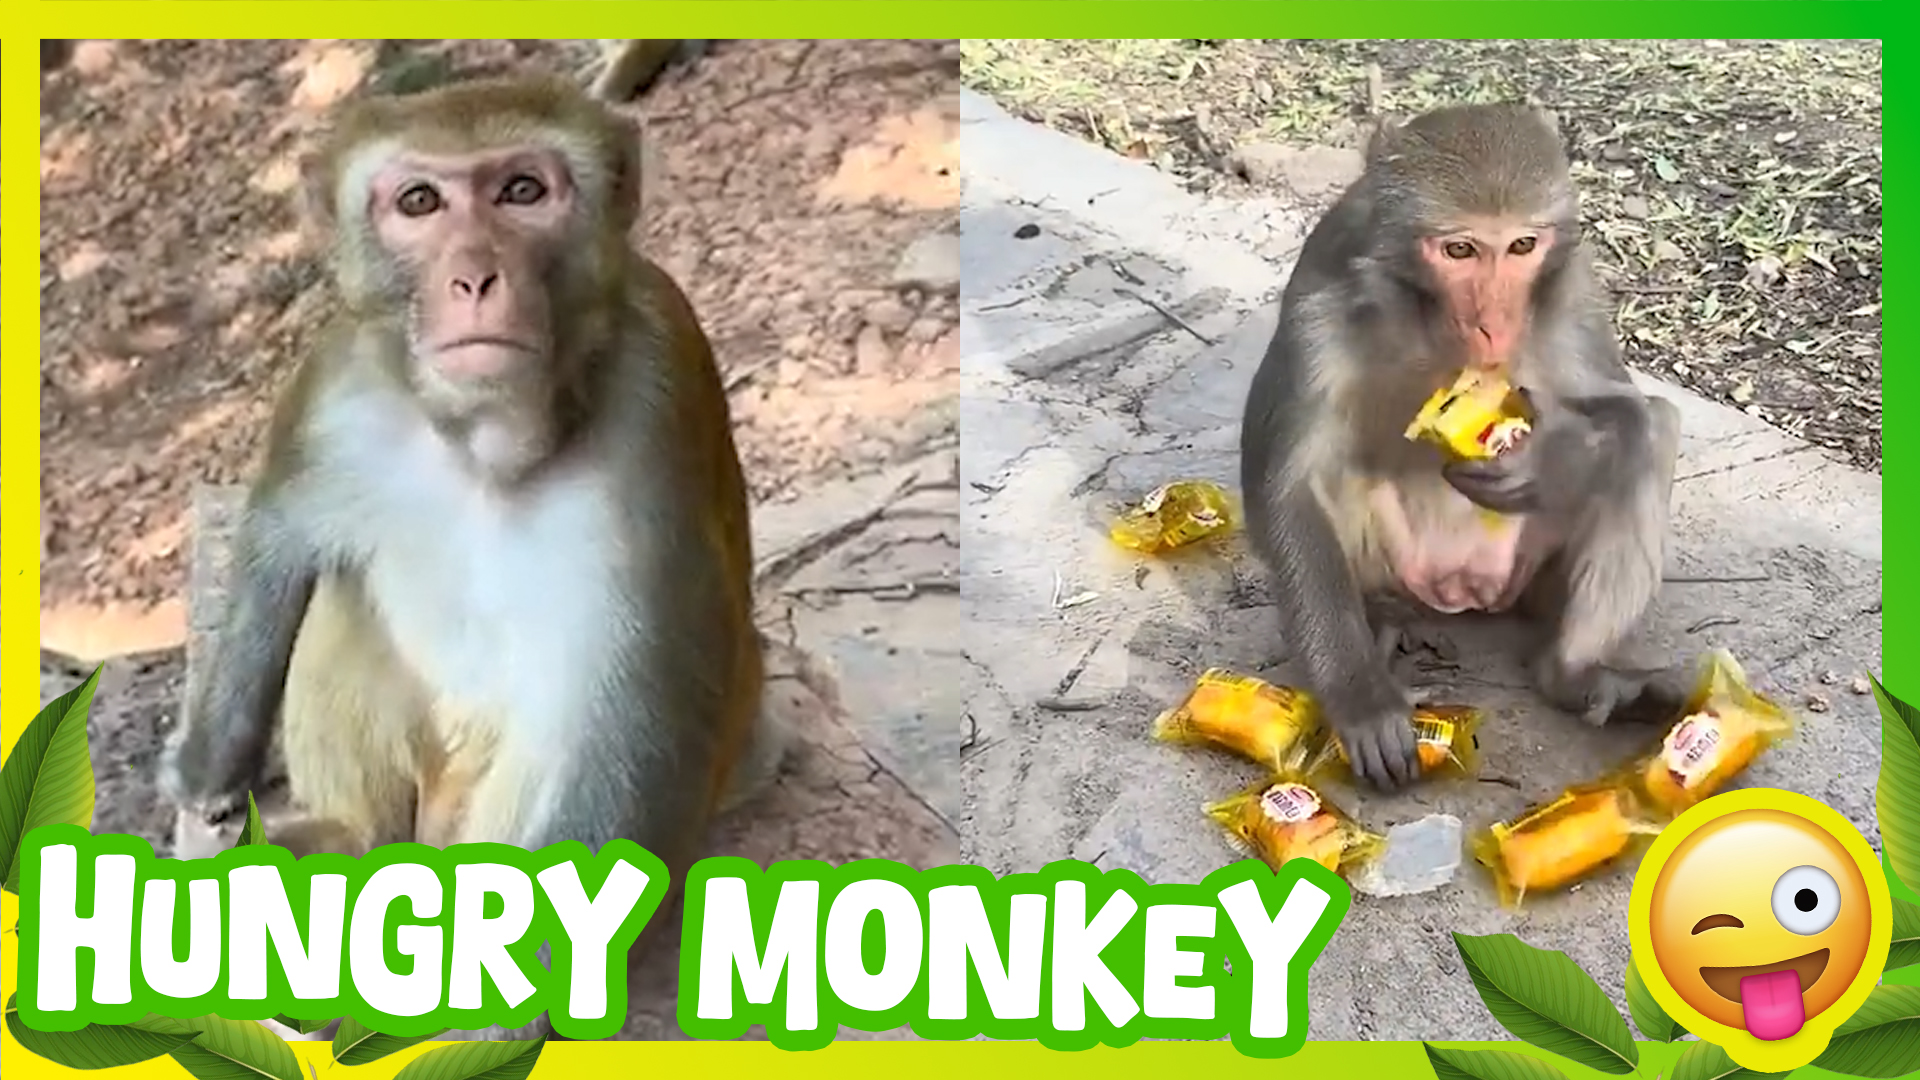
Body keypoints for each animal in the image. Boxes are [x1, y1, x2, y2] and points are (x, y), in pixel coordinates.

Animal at [157, 75, 780, 1038]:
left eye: (522, 192)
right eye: (420, 202)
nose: (476, 276)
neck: (487, 434)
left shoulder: (658, 393)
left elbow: (646, 697)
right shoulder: (336, 378)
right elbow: (279, 537)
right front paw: (209, 770)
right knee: (342, 594)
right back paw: (339, 853)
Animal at [1239, 102, 1687, 791]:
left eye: (1523, 246)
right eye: (1460, 249)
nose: (1494, 326)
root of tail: (1464, 590)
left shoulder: (1572, 292)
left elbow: (1628, 406)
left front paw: (1550, 458)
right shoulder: (1319, 303)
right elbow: (1285, 482)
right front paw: (1361, 699)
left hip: (1532, 581)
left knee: (1652, 435)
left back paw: (1577, 674)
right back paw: (1385, 619)